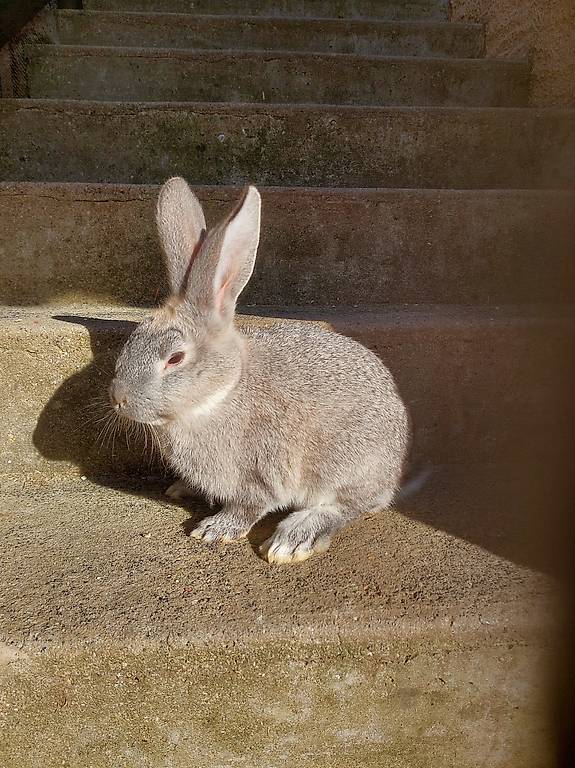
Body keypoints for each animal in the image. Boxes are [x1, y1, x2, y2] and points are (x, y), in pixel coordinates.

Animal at [109, 177, 410, 564]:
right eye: (134, 338)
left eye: (175, 358)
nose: (117, 397)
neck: (221, 393)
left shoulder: (260, 473)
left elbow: (250, 506)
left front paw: (215, 530)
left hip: (348, 464)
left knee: (345, 507)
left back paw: (293, 539)